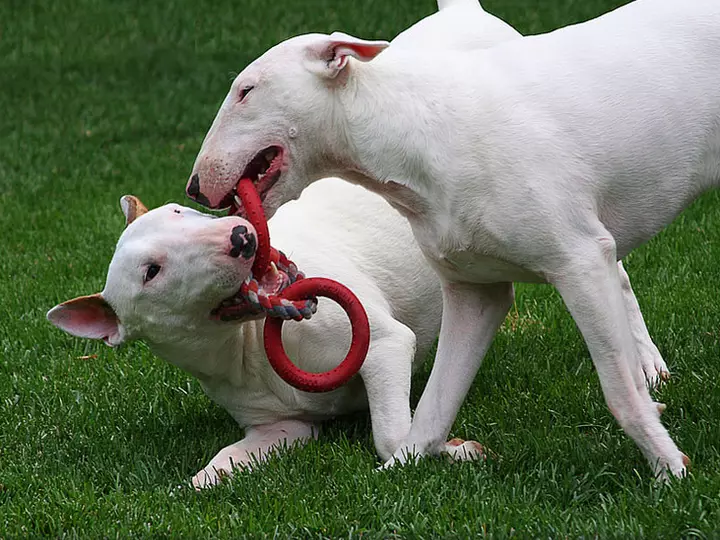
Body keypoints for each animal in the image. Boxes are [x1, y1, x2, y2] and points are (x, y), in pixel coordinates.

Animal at [187, 0, 720, 478]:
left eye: (245, 91)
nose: (192, 187)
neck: (423, 134)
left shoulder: (578, 262)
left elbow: (618, 389)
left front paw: (669, 469)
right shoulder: (475, 293)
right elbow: (433, 405)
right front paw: (402, 469)